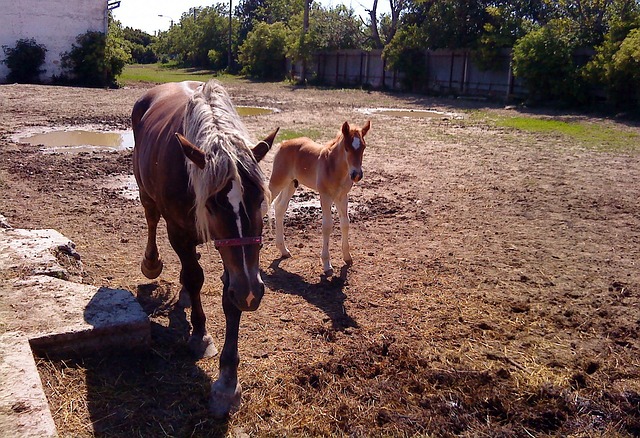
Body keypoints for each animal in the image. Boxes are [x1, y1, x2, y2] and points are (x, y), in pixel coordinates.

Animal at [131, 79, 278, 418]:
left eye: (260, 199)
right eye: (212, 203)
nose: (252, 293)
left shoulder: (238, 266)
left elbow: (229, 298)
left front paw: (227, 382)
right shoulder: (179, 232)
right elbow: (195, 277)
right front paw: (200, 334)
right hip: (145, 193)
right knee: (151, 220)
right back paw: (152, 263)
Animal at [268, 120, 370, 275]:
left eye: (363, 147)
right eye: (346, 148)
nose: (356, 174)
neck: (334, 167)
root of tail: (283, 143)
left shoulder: (342, 197)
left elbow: (345, 223)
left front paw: (347, 257)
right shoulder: (325, 196)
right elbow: (327, 226)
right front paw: (327, 264)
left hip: (291, 184)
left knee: (280, 208)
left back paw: (283, 250)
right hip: (277, 181)